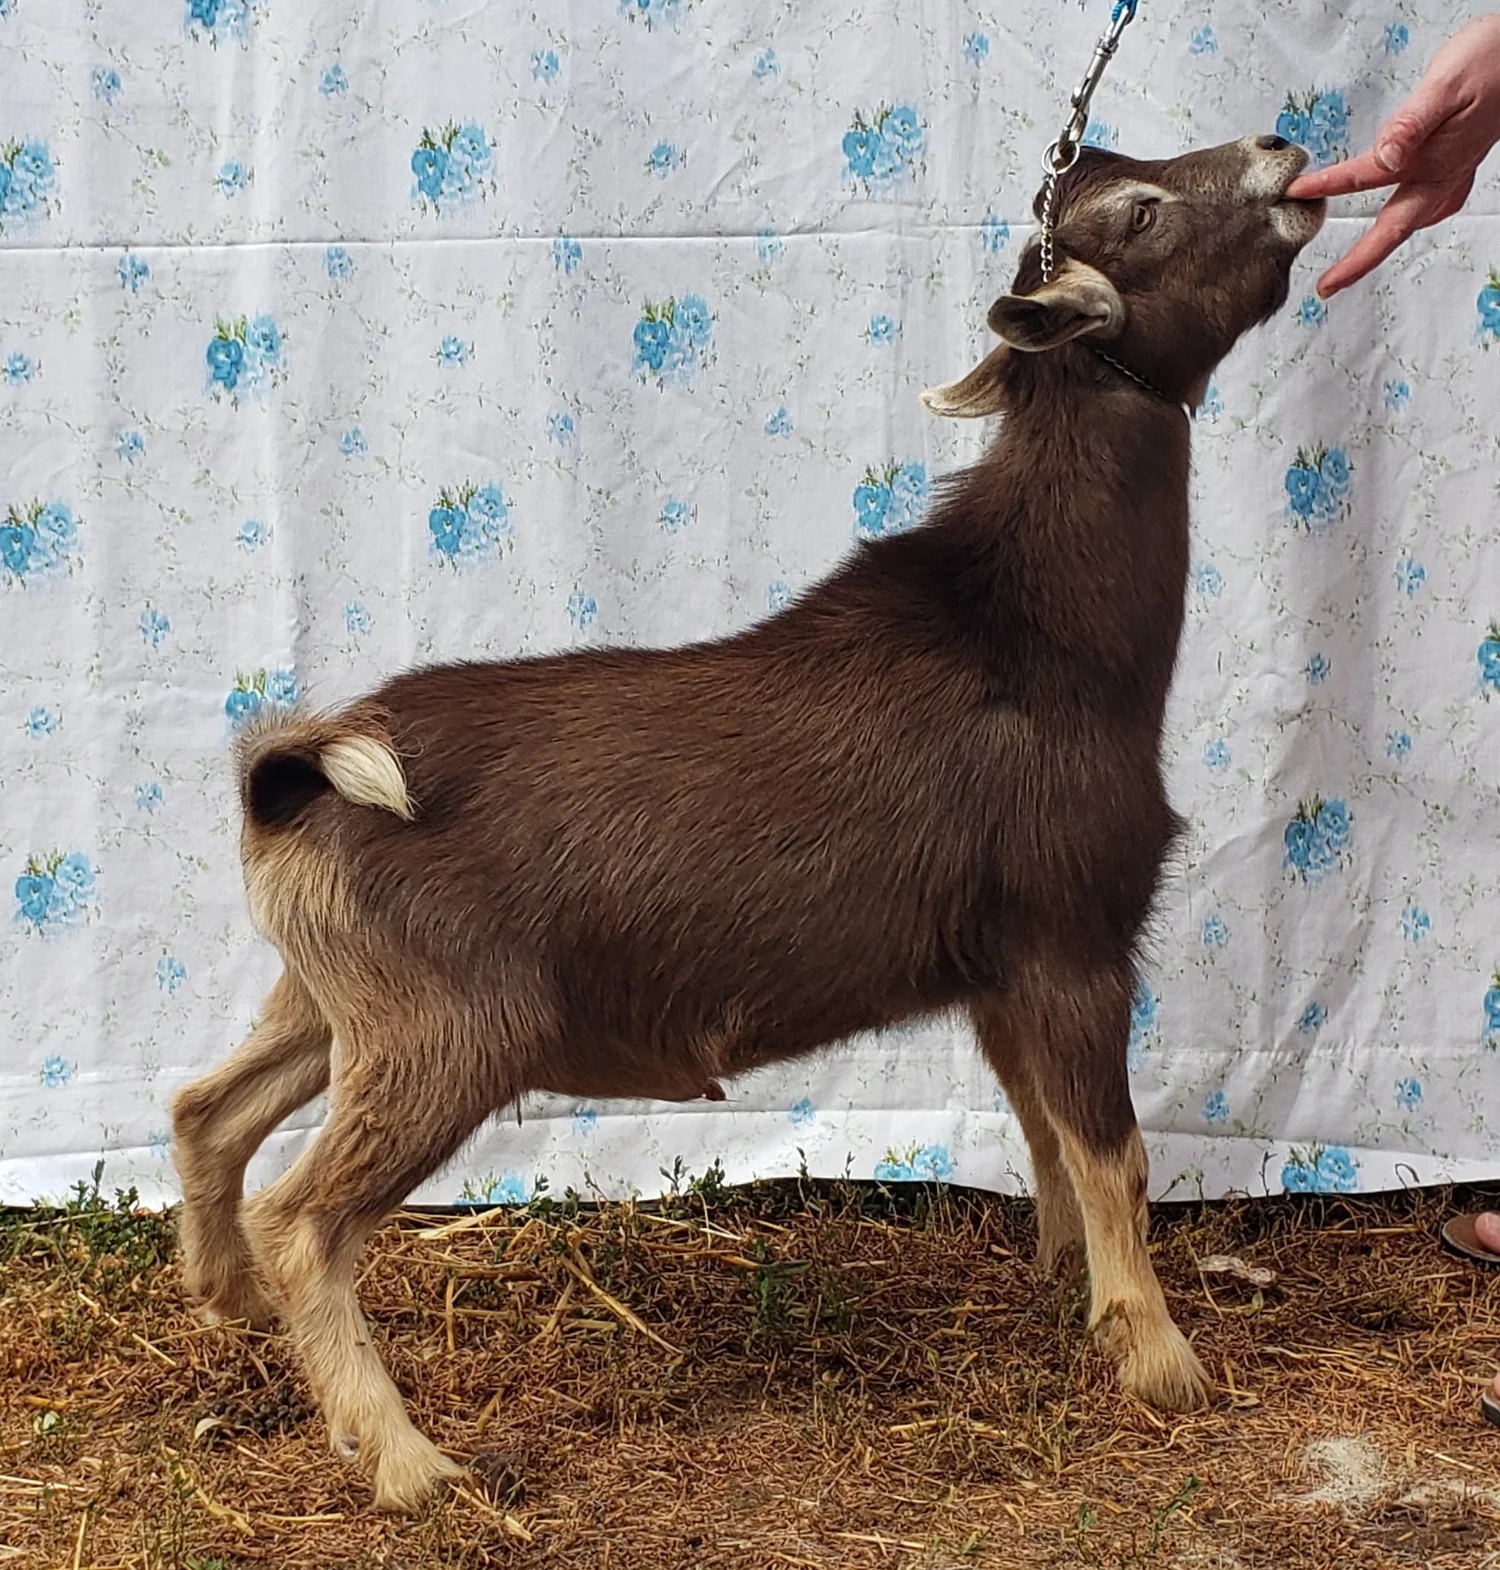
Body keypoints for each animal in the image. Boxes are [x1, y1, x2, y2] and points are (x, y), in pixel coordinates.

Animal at [171, 134, 1325, 1512]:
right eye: (1143, 210)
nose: (1282, 150)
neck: (1035, 631)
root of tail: (293, 780)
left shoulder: (999, 966)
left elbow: (1046, 1135)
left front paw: (1067, 1291)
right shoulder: (1074, 935)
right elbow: (1116, 1152)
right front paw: (1159, 1360)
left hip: (332, 998)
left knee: (207, 1107)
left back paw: (227, 1301)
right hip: (446, 1032)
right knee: (307, 1215)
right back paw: (407, 1461)